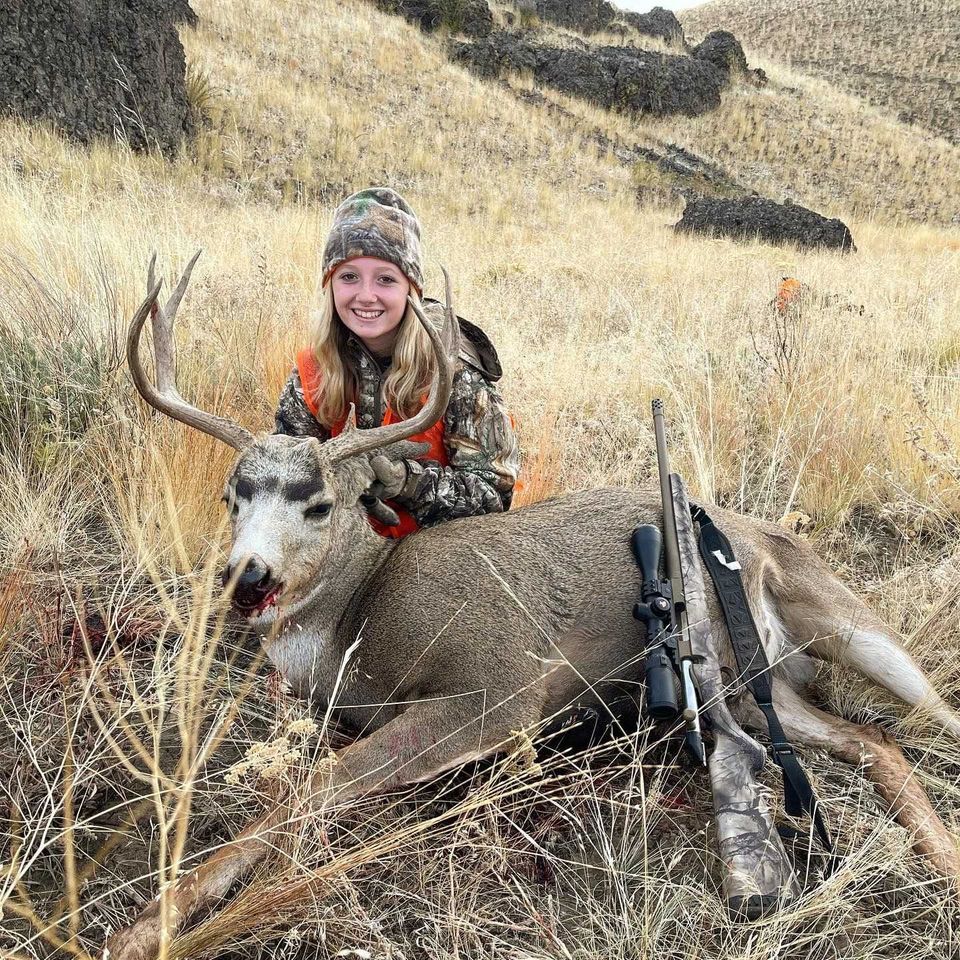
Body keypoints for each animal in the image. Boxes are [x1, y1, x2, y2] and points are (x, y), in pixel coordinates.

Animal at [107, 254, 960, 959]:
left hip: (848, 623)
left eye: (318, 503)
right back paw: (940, 859)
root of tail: (761, 536)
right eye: (232, 495)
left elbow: (307, 791)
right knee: (873, 741)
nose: (246, 578)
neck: (360, 619)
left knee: (929, 716)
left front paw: (146, 926)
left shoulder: (498, 689)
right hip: (763, 689)